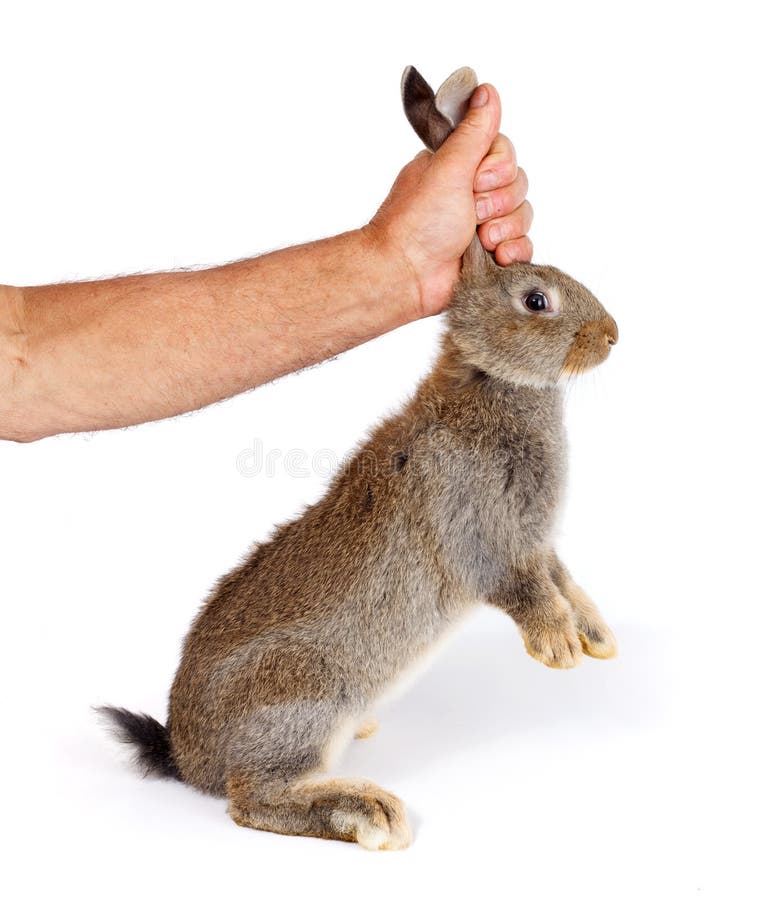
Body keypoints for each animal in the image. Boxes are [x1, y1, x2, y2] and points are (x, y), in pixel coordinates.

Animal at [100, 66, 618, 851]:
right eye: (536, 300)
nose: (613, 334)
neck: (486, 382)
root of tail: (188, 758)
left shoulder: (539, 540)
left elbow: (564, 579)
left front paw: (595, 637)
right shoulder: (486, 532)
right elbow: (523, 589)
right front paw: (556, 648)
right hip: (304, 695)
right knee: (251, 801)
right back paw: (369, 813)